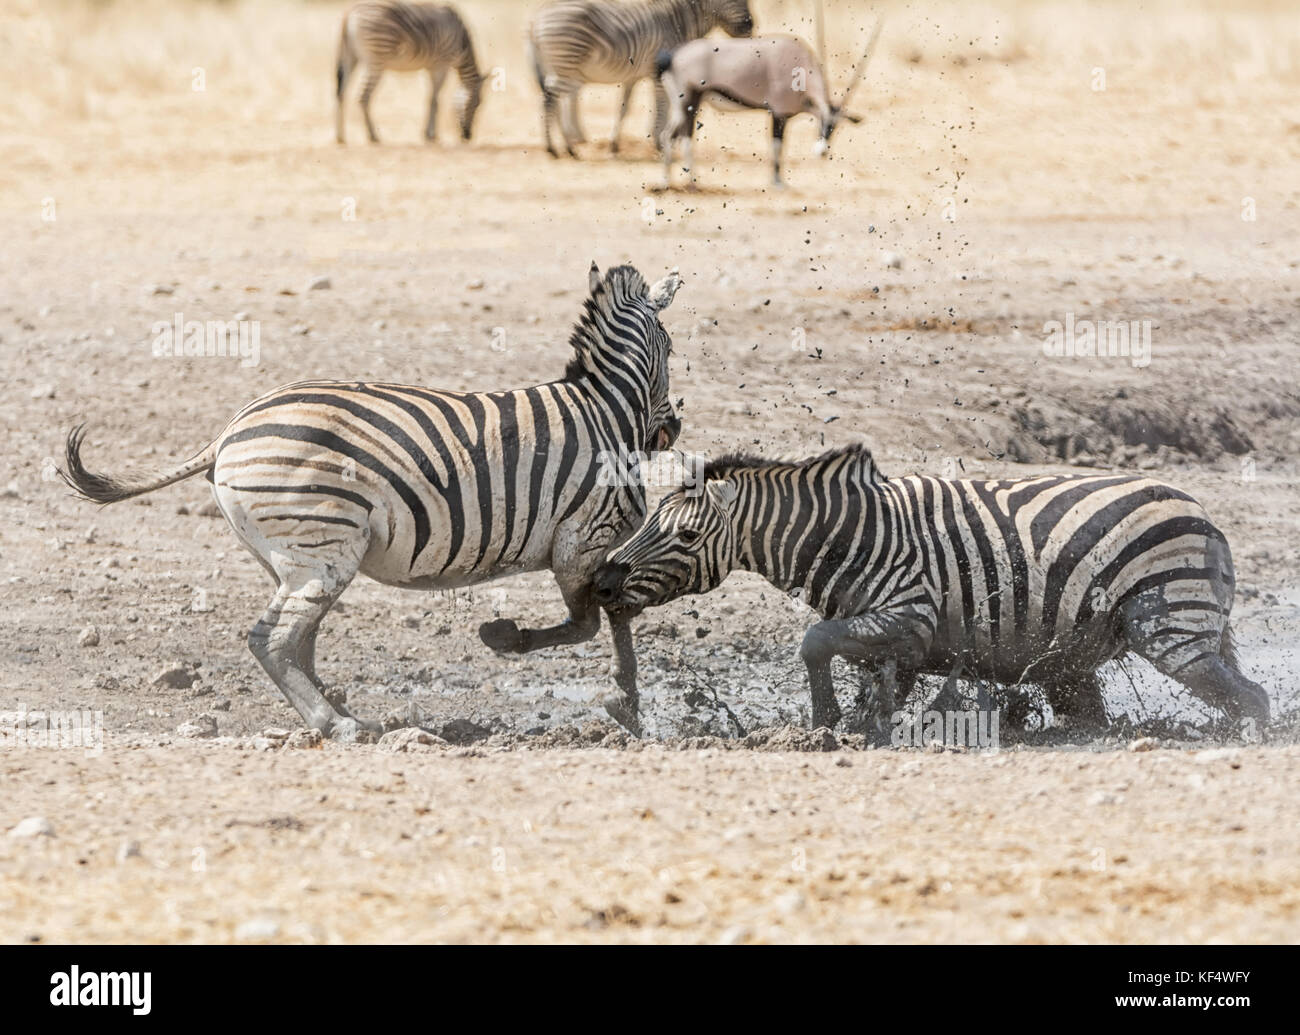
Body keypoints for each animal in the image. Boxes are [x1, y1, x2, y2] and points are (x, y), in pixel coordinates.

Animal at [60, 264, 684, 739]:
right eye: (673, 349)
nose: (673, 430)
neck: (608, 411)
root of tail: (228, 432)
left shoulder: (588, 547)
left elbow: (612, 612)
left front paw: (627, 704)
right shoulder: (582, 538)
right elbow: (588, 621)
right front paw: (514, 641)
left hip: (297, 558)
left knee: (297, 641)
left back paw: (339, 711)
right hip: (323, 548)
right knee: (272, 640)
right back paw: (337, 725)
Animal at [336, 1, 484, 145]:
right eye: (477, 104)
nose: (468, 136)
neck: (462, 43)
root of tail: (350, 12)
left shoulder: (431, 67)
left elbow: (430, 98)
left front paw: (427, 134)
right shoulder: (441, 65)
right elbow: (434, 100)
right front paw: (431, 136)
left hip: (351, 58)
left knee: (342, 94)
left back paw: (341, 137)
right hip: (376, 59)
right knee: (364, 97)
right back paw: (373, 137)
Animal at [529, 0, 754, 158]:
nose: (750, 27)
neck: (678, 20)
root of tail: (537, 17)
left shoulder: (633, 77)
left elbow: (624, 109)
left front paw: (614, 145)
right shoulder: (659, 72)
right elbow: (662, 107)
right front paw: (659, 143)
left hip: (561, 66)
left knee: (554, 98)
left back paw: (566, 147)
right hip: (567, 59)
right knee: (550, 100)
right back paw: (554, 149)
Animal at [592, 444, 1271, 734]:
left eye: (683, 536)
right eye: (650, 520)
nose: (602, 579)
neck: (851, 536)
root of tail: (1202, 512)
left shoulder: (908, 615)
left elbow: (813, 642)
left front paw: (826, 723)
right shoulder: (898, 641)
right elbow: (871, 679)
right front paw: (867, 724)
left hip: (1171, 630)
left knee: (1251, 698)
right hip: (1094, 649)